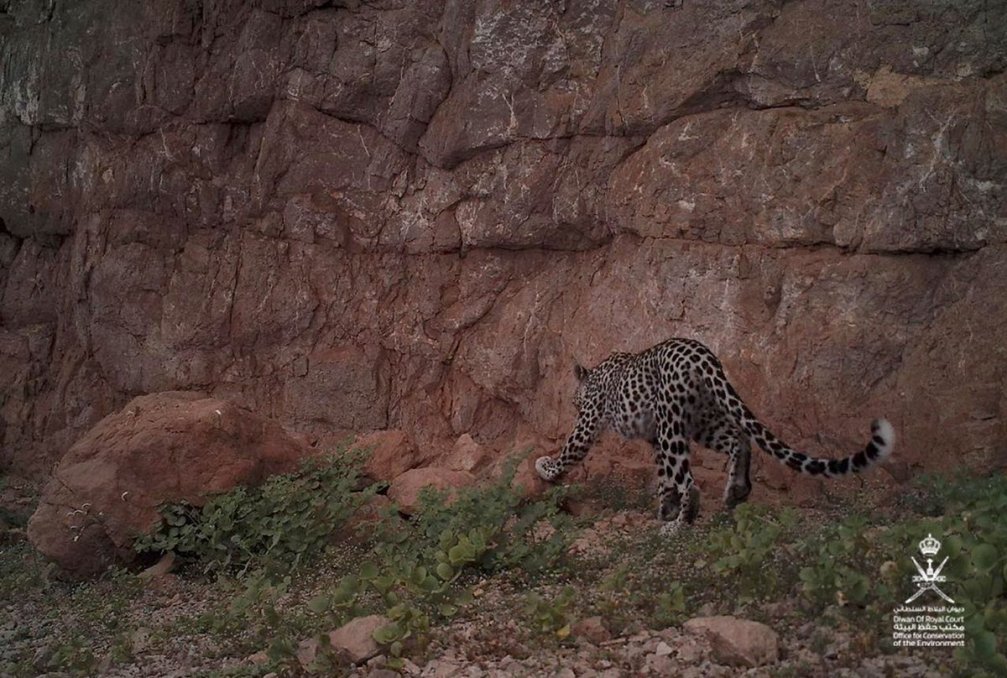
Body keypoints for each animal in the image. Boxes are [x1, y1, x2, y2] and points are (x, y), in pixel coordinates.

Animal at [534, 337, 895, 534]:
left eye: (576, 404)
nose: (572, 404)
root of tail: (704, 356)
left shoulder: (590, 420)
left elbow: (571, 447)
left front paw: (546, 467)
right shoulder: (655, 437)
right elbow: (664, 476)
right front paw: (664, 507)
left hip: (676, 425)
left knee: (692, 481)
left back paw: (679, 526)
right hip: (697, 420)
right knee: (739, 438)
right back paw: (736, 491)